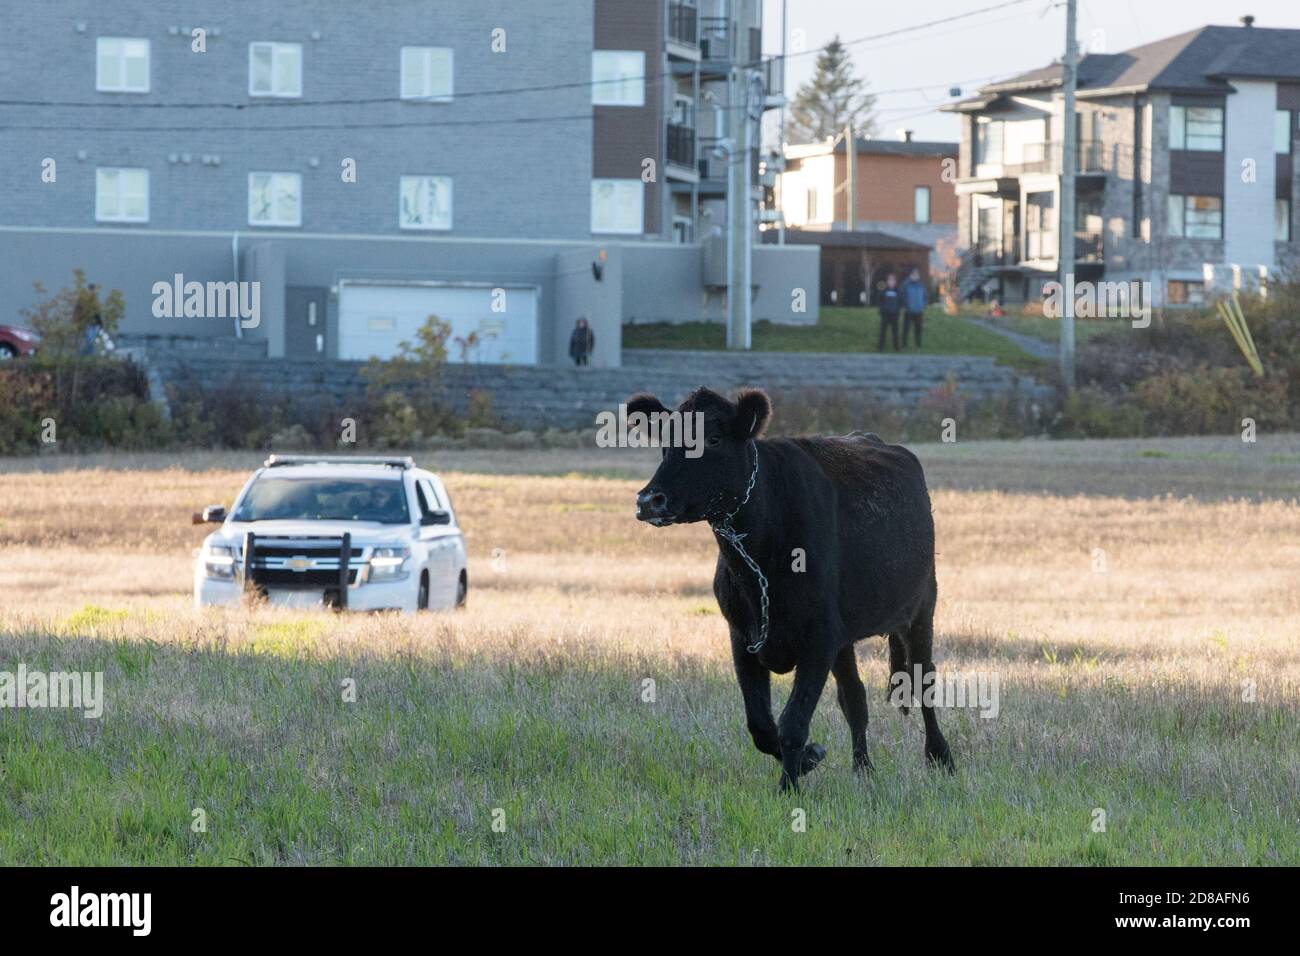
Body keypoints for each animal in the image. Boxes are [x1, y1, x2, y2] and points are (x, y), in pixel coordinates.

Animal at [628, 386, 953, 791]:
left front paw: (789, 787)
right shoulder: (743, 637)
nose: (649, 500)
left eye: (713, 439)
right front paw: (807, 760)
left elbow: (793, 722)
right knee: (855, 697)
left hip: (922, 606)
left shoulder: (819, 638)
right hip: (846, 637)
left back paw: (941, 757)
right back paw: (863, 769)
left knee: (923, 682)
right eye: (665, 442)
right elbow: (761, 726)